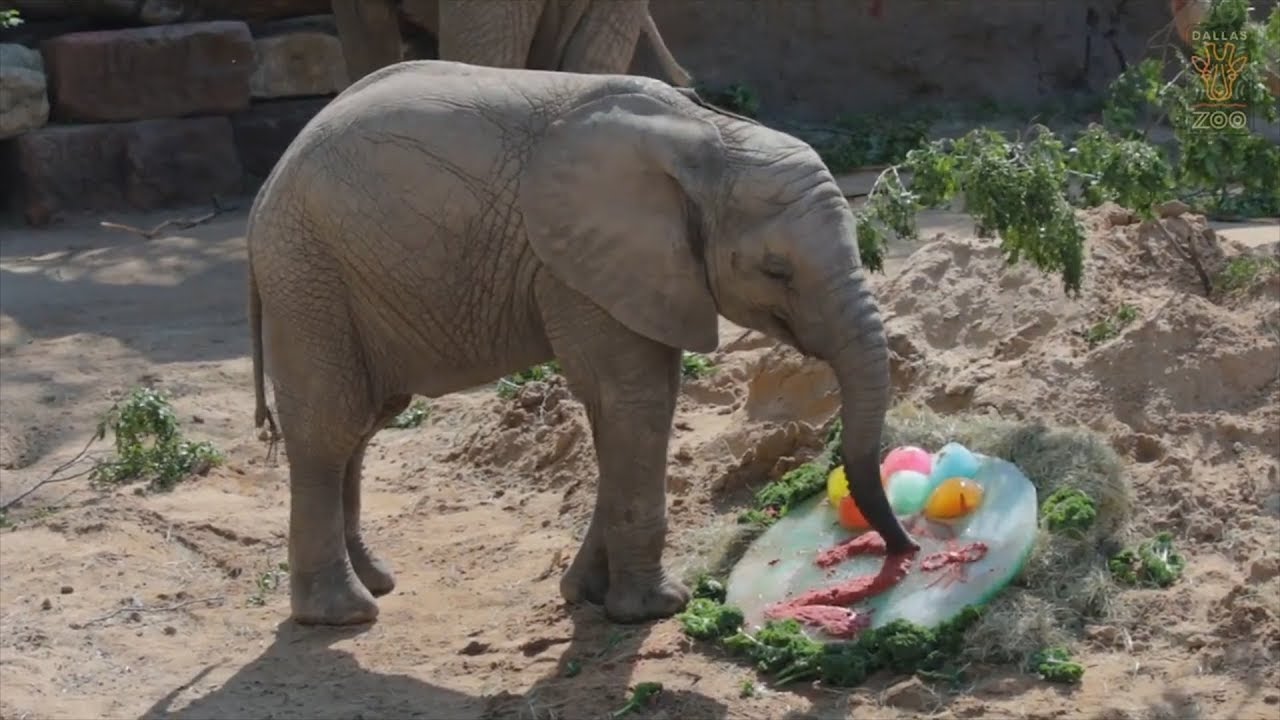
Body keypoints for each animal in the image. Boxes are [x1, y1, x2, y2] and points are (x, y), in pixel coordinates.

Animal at [247, 59, 919, 627]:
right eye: (776, 270)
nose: (903, 547)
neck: (712, 138)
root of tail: (268, 183)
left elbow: (633, 403)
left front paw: (587, 596)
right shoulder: (577, 265)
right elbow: (635, 398)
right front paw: (654, 609)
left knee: (365, 422)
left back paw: (376, 582)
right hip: (307, 273)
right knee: (330, 425)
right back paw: (342, 614)